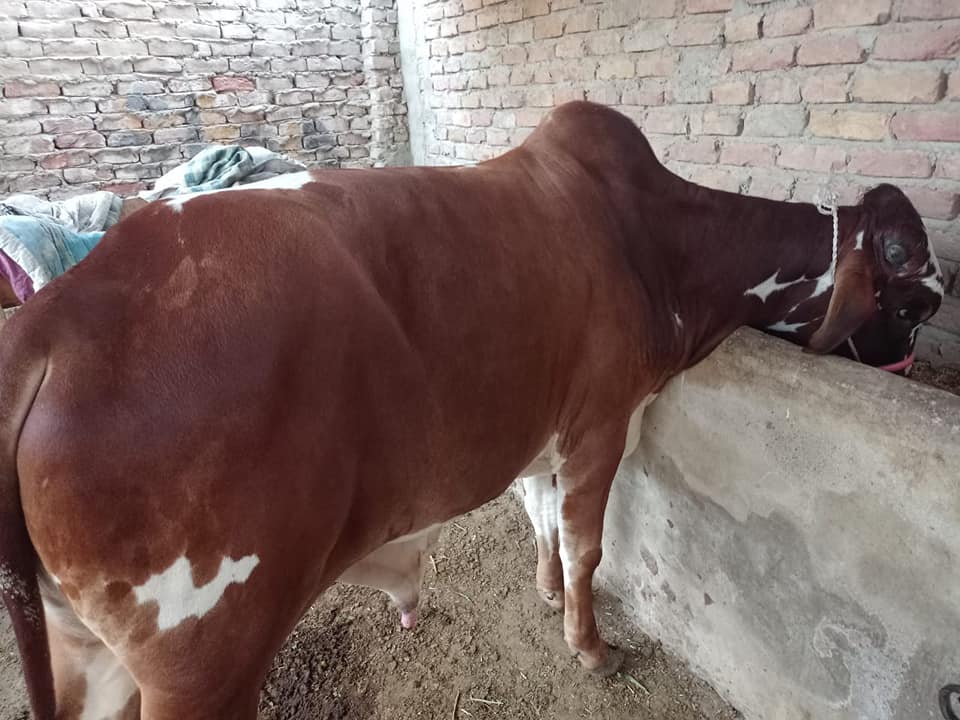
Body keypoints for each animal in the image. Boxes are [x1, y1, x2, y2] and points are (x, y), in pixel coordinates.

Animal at [0, 102, 943, 719]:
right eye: (914, 301)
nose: (909, 369)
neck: (655, 244)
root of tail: (51, 324)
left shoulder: (543, 429)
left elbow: (542, 517)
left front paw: (544, 590)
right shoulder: (601, 425)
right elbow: (588, 543)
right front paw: (590, 646)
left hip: (90, 651)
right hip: (202, 663)